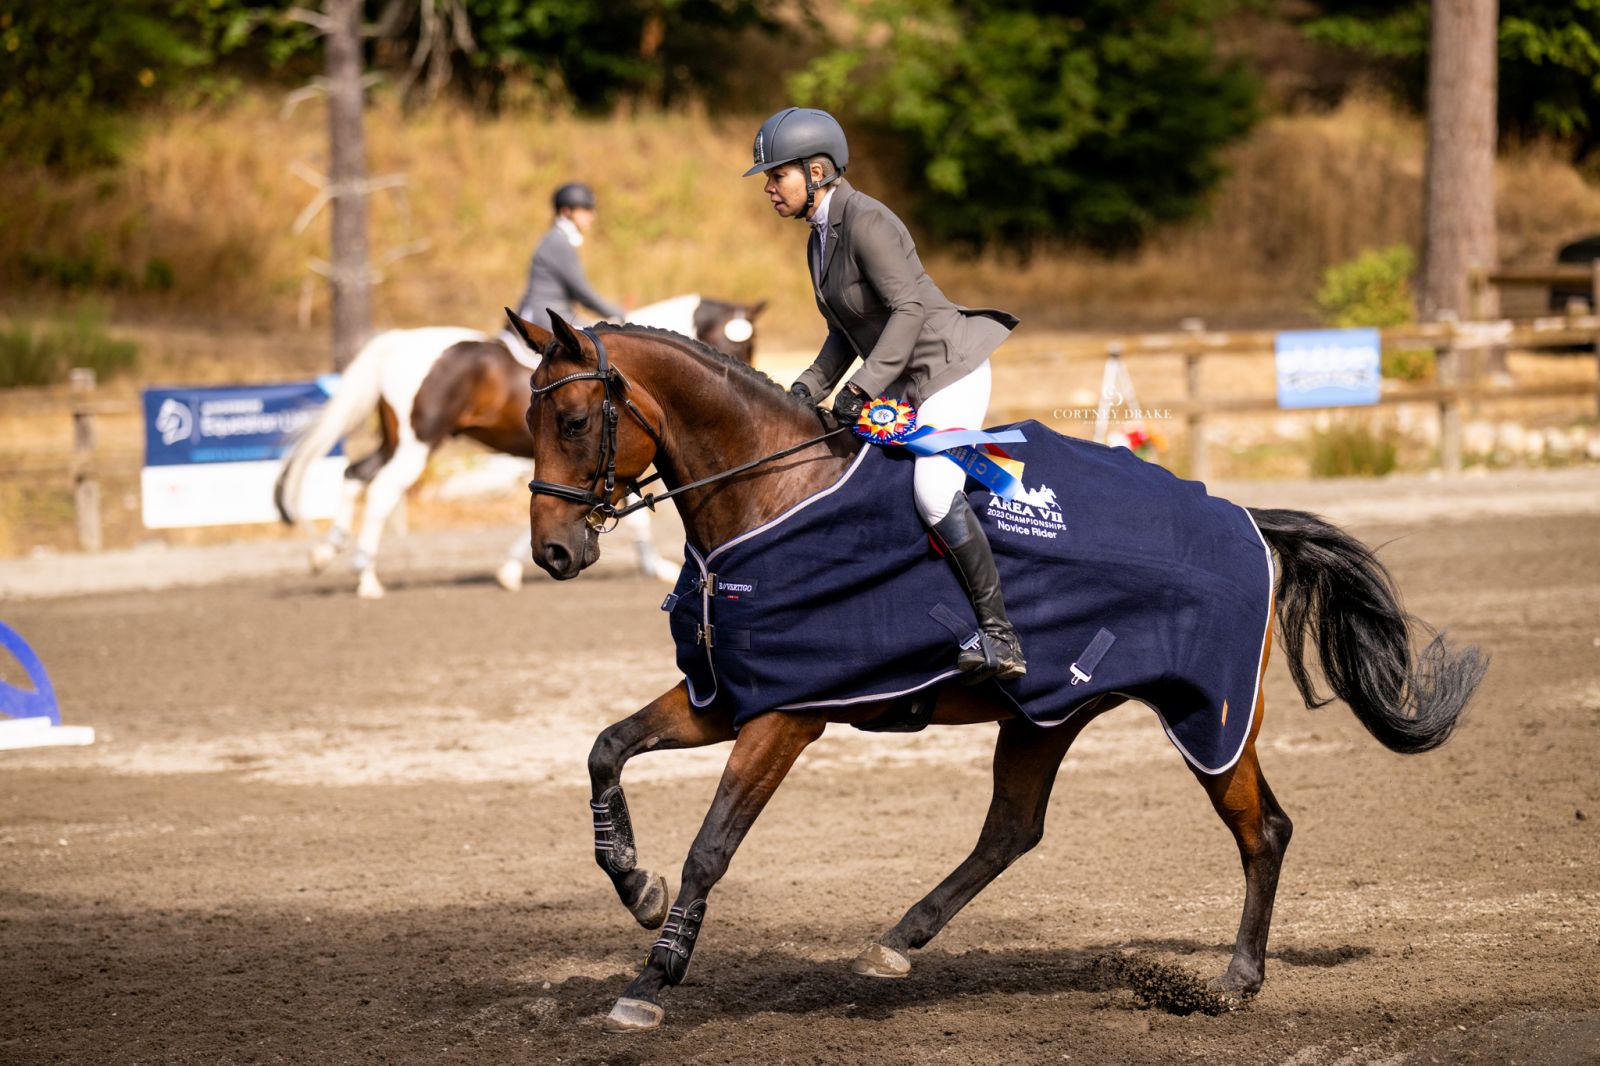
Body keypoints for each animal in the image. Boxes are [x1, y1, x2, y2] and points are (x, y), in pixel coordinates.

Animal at [273, 295, 765, 598]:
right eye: (731, 340)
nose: (742, 375)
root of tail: (397, 342)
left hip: (397, 439)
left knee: (355, 474)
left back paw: (327, 554)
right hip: (418, 443)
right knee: (379, 490)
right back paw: (366, 577)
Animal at [505, 310, 1487, 1034]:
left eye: (575, 421)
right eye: (527, 423)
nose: (554, 553)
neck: (765, 496)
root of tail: (1243, 517)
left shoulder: (788, 712)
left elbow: (713, 844)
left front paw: (654, 975)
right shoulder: (727, 695)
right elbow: (606, 748)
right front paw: (635, 887)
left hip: (1208, 714)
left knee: (1263, 830)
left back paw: (1236, 980)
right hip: (1047, 712)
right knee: (1012, 830)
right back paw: (896, 942)